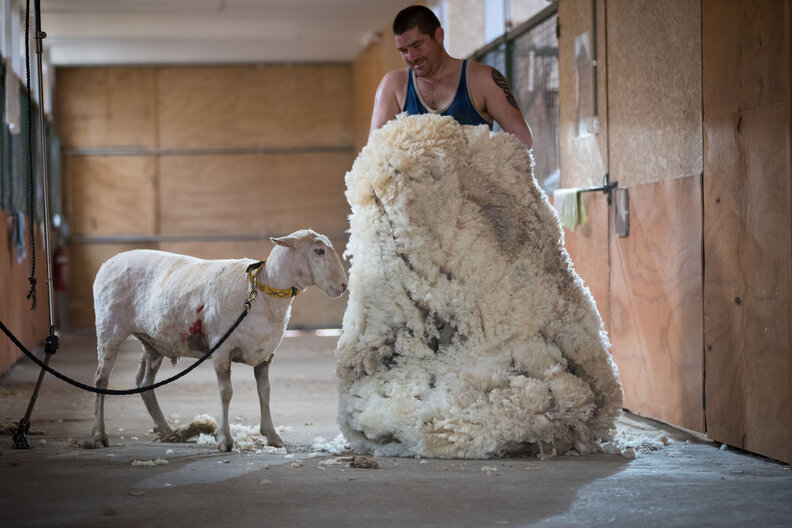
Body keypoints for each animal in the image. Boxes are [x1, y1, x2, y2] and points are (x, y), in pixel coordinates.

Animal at [91, 229, 347, 452]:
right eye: (319, 251)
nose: (344, 286)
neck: (263, 290)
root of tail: (108, 263)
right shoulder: (221, 349)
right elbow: (226, 393)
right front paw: (225, 439)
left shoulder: (265, 355)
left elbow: (265, 392)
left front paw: (273, 436)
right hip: (108, 329)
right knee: (101, 380)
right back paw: (99, 435)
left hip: (153, 342)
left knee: (144, 382)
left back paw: (167, 431)